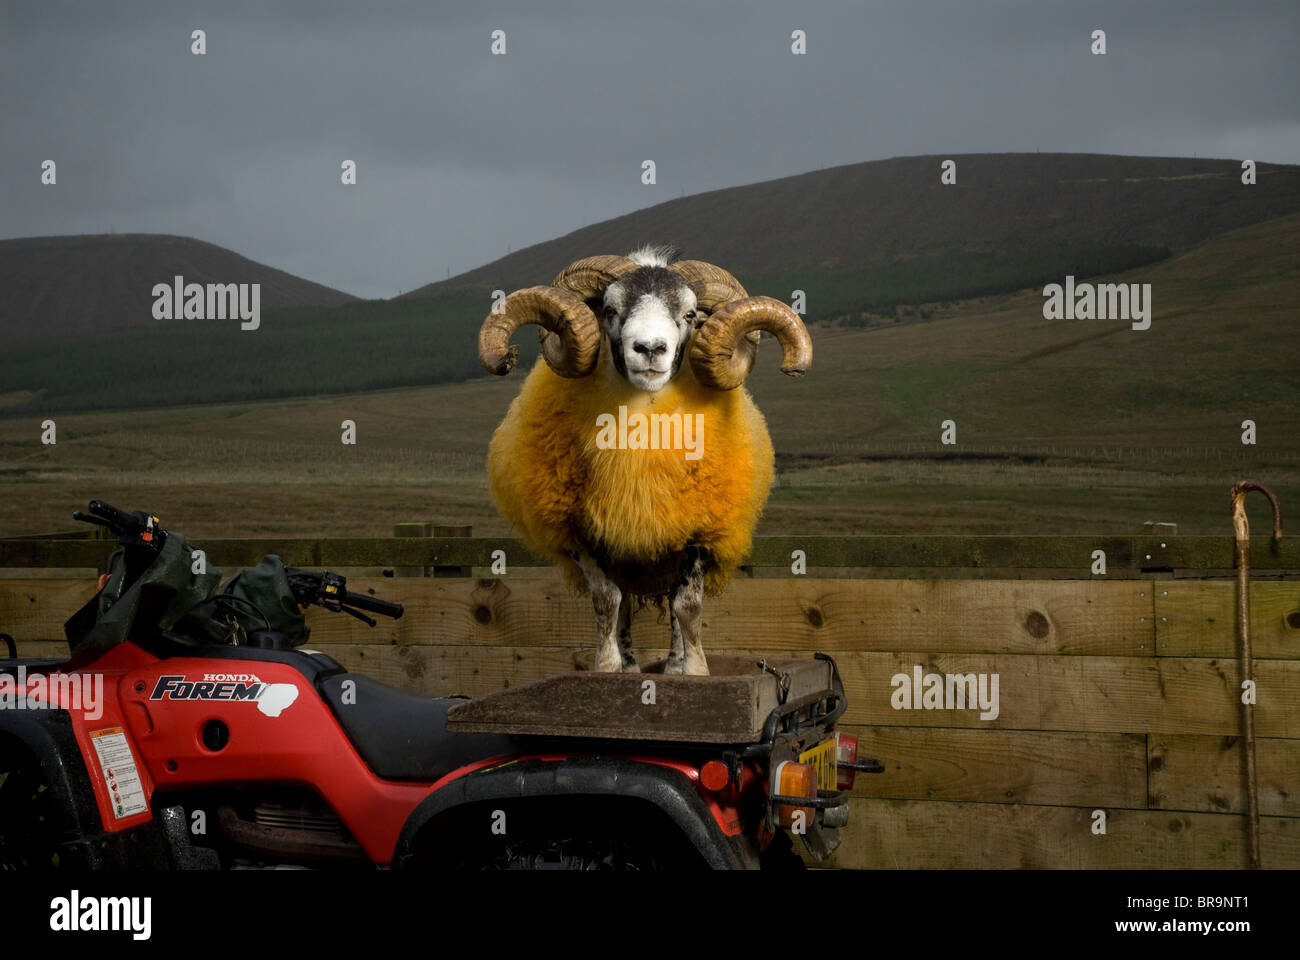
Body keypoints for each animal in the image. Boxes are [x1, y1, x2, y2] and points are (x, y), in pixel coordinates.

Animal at [478, 246, 811, 675]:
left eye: (690, 315)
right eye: (609, 309)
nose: (650, 348)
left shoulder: (697, 528)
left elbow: (687, 607)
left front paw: (694, 671)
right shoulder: (581, 531)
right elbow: (607, 602)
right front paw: (608, 668)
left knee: (672, 605)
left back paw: (672, 664)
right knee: (623, 607)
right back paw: (631, 666)